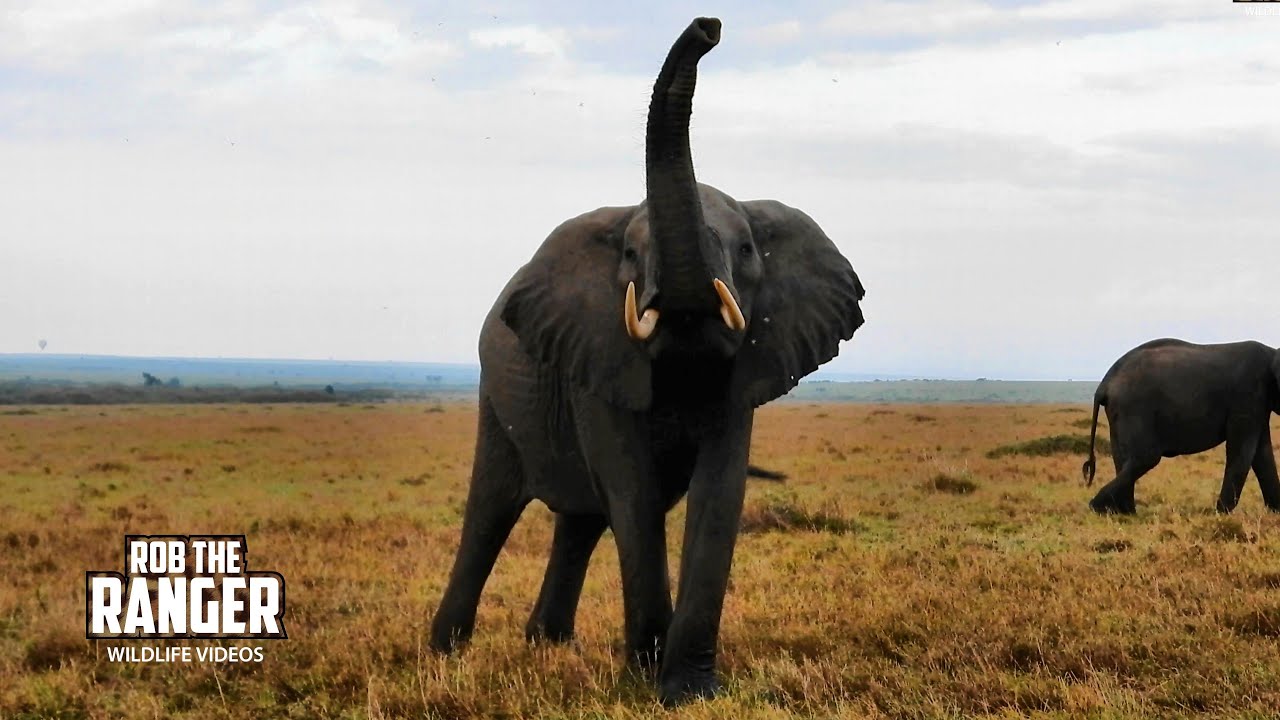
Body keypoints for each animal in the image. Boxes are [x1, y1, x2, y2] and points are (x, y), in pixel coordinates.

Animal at [428, 17, 865, 706]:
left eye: (746, 250)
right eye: (632, 256)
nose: (709, 28)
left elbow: (718, 492)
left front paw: (689, 690)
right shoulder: (597, 352)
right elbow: (632, 490)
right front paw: (648, 679)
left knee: (579, 521)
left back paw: (547, 645)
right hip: (496, 395)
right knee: (491, 512)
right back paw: (445, 655)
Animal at [1083, 338, 1280, 514]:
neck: (1272, 352)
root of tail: (1104, 384)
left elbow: (1262, 454)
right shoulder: (1248, 395)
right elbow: (1243, 451)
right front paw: (1221, 514)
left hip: (1119, 412)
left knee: (1123, 458)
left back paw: (1124, 513)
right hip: (1134, 407)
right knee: (1146, 457)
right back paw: (1097, 507)